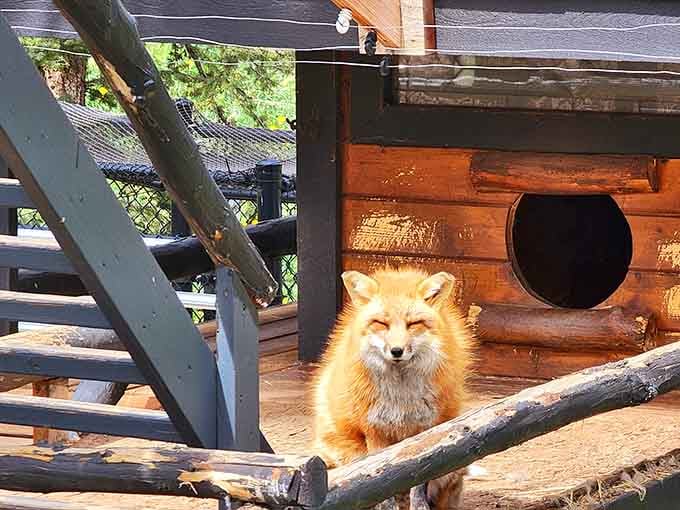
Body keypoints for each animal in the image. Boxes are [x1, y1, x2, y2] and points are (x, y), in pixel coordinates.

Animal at [312, 266, 475, 509]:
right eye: (381, 323)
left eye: (413, 324)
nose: (396, 351)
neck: (401, 397)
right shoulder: (375, 431)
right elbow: (380, 479)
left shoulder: (424, 430)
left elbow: (419, 483)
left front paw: (419, 506)